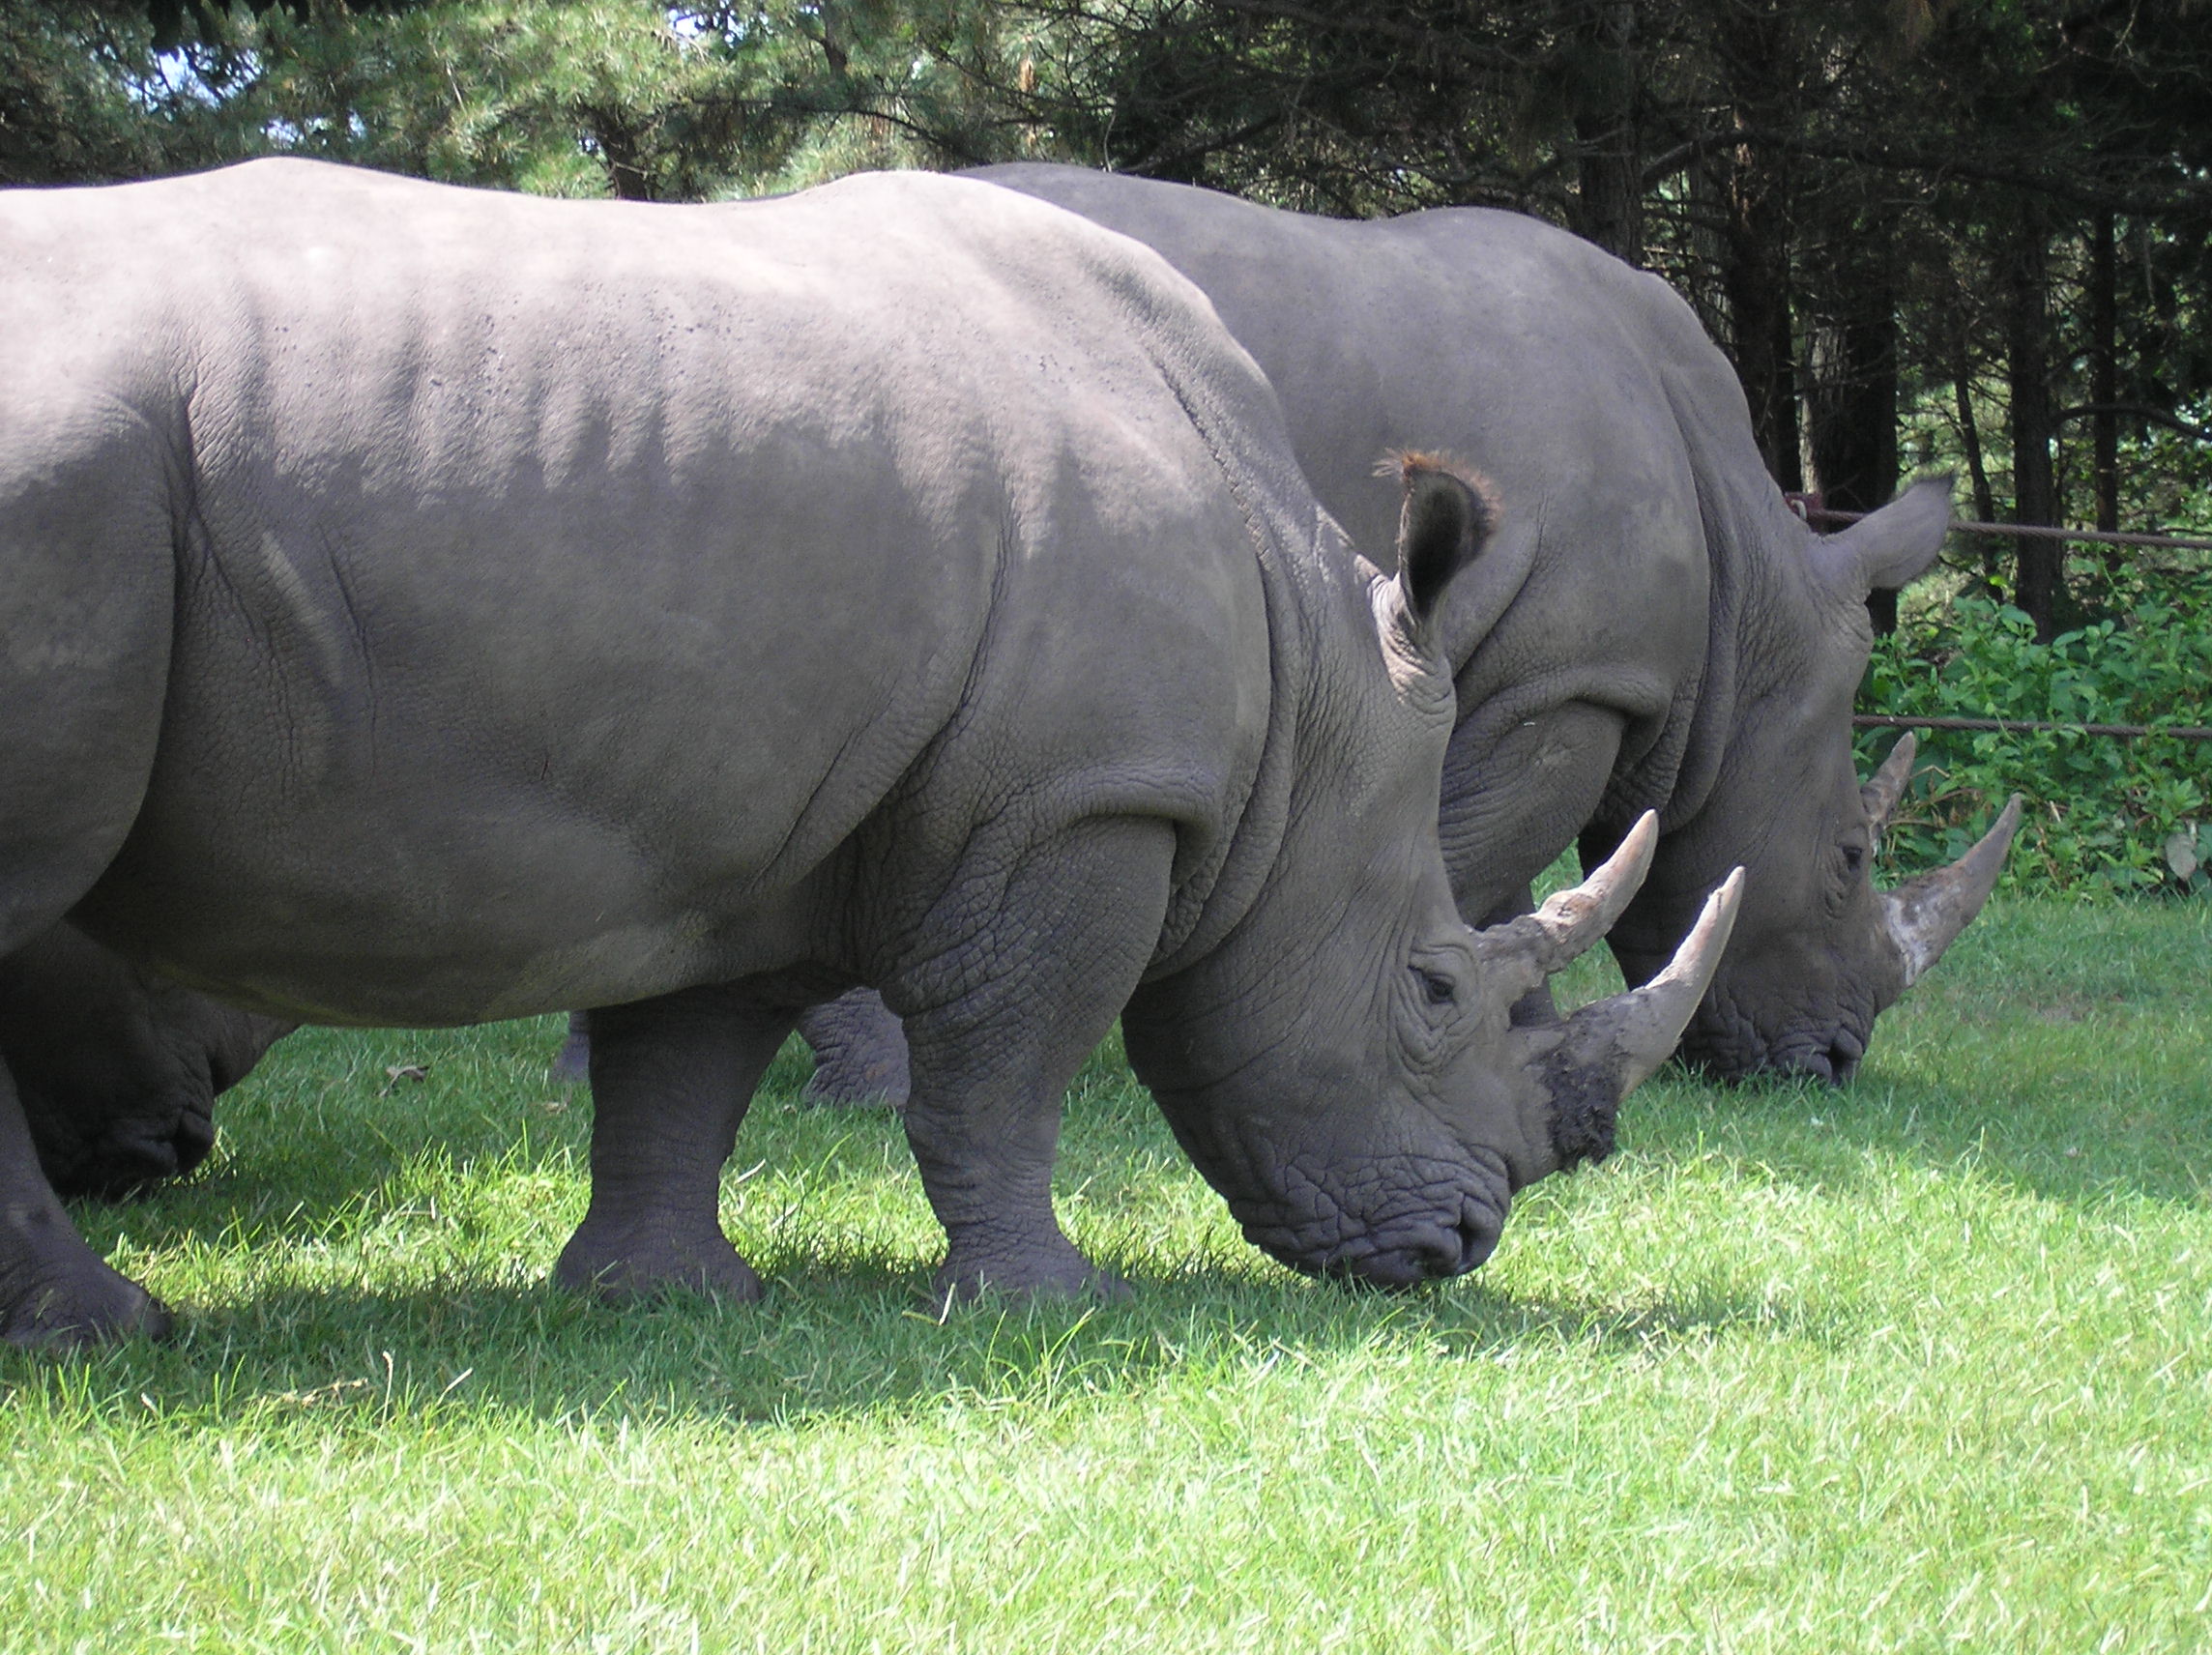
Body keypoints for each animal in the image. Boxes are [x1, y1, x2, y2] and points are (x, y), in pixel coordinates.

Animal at [0, 160, 1740, 1344]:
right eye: (1432, 996)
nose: (1459, 1245)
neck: (1306, 705)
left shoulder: (727, 819)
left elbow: (682, 1059)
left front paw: (660, 1299)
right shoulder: (1085, 799)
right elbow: (1009, 1059)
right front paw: (1050, 1309)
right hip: (66, 482)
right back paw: (108, 1337)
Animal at [765, 163, 2019, 1100]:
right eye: (1848, 857)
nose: (1834, 1059)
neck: (1749, 613)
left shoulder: (1540, 680)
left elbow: (1509, 882)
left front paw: (1521, 1025)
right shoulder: (1569, 680)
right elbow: (1476, 863)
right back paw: (876, 1086)